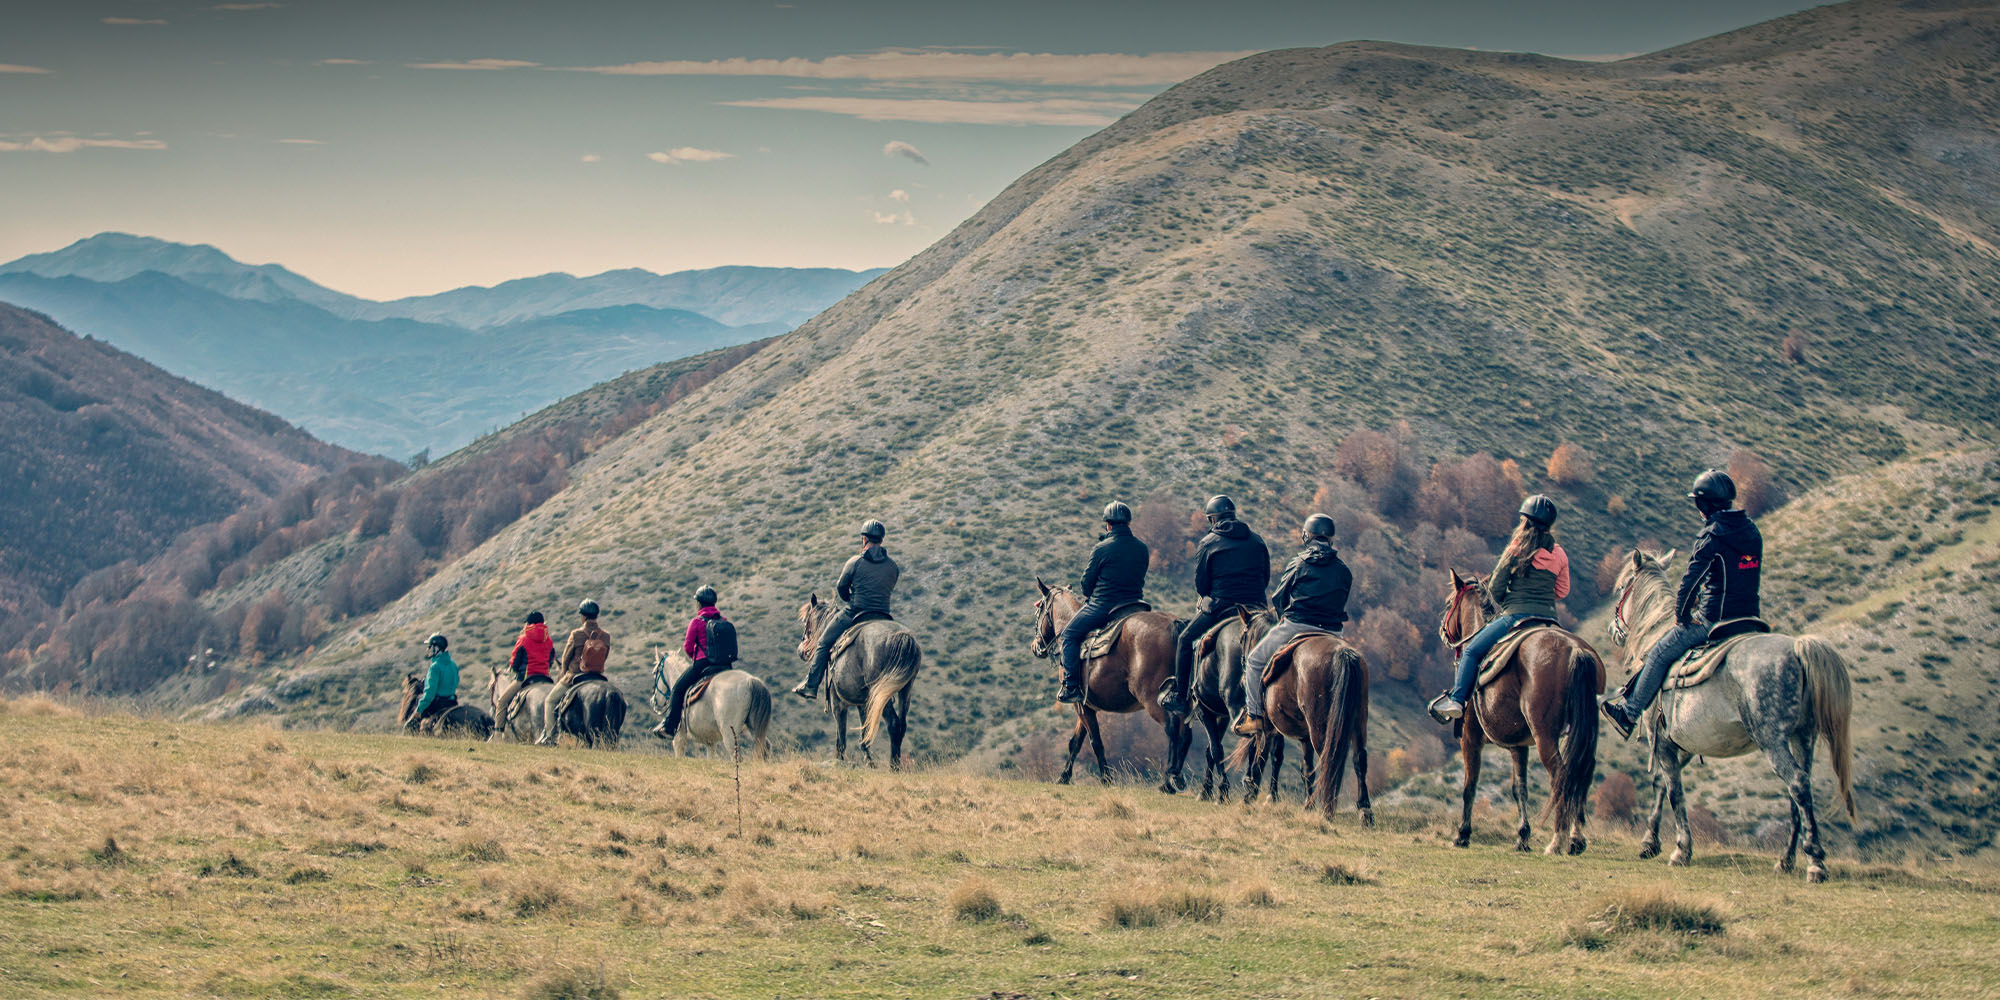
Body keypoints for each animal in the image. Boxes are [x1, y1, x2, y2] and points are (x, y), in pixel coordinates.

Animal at [796, 595, 922, 769]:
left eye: (806, 621)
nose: (801, 650)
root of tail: (902, 637)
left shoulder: (838, 702)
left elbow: (841, 737)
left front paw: (839, 760)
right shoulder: (864, 704)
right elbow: (865, 732)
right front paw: (869, 761)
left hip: (882, 693)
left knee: (893, 723)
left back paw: (893, 766)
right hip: (905, 690)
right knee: (902, 725)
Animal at [1029, 580, 1188, 791]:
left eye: (1038, 610)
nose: (1035, 646)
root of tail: (1174, 625)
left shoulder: (1080, 705)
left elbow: (1095, 742)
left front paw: (1106, 779)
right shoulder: (1085, 706)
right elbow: (1075, 743)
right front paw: (1064, 777)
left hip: (1153, 698)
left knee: (1172, 728)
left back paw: (1168, 782)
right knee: (1186, 732)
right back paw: (1177, 778)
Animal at [1226, 610, 1374, 824]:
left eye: (1242, 639)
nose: (1243, 672)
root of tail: (1342, 653)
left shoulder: (1267, 730)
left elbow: (1260, 760)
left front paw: (1249, 797)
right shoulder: (1305, 737)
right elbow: (1307, 770)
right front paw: (1308, 805)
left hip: (1321, 727)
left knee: (1329, 760)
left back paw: (1328, 812)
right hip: (1358, 722)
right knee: (1359, 759)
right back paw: (1364, 811)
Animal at [1437, 569, 1603, 855]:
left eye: (1450, 603)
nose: (1442, 631)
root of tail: (1576, 651)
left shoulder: (1470, 739)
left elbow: (1470, 786)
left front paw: (1462, 834)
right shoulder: (1519, 746)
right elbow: (1519, 789)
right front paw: (1522, 837)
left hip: (1545, 736)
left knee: (1561, 775)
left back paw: (1557, 840)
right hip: (1583, 733)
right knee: (1582, 772)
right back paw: (1575, 838)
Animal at [1609, 548, 1856, 881]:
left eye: (1622, 587)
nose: (1613, 630)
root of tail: (1797, 648)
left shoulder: (1661, 741)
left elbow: (1674, 791)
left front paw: (1681, 850)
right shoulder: (1679, 746)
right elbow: (1662, 784)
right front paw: (1650, 842)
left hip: (1772, 740)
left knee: (1796, 784)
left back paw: (1815, 862)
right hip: (1803, 737)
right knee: (1799, 789)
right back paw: (1786, 860)